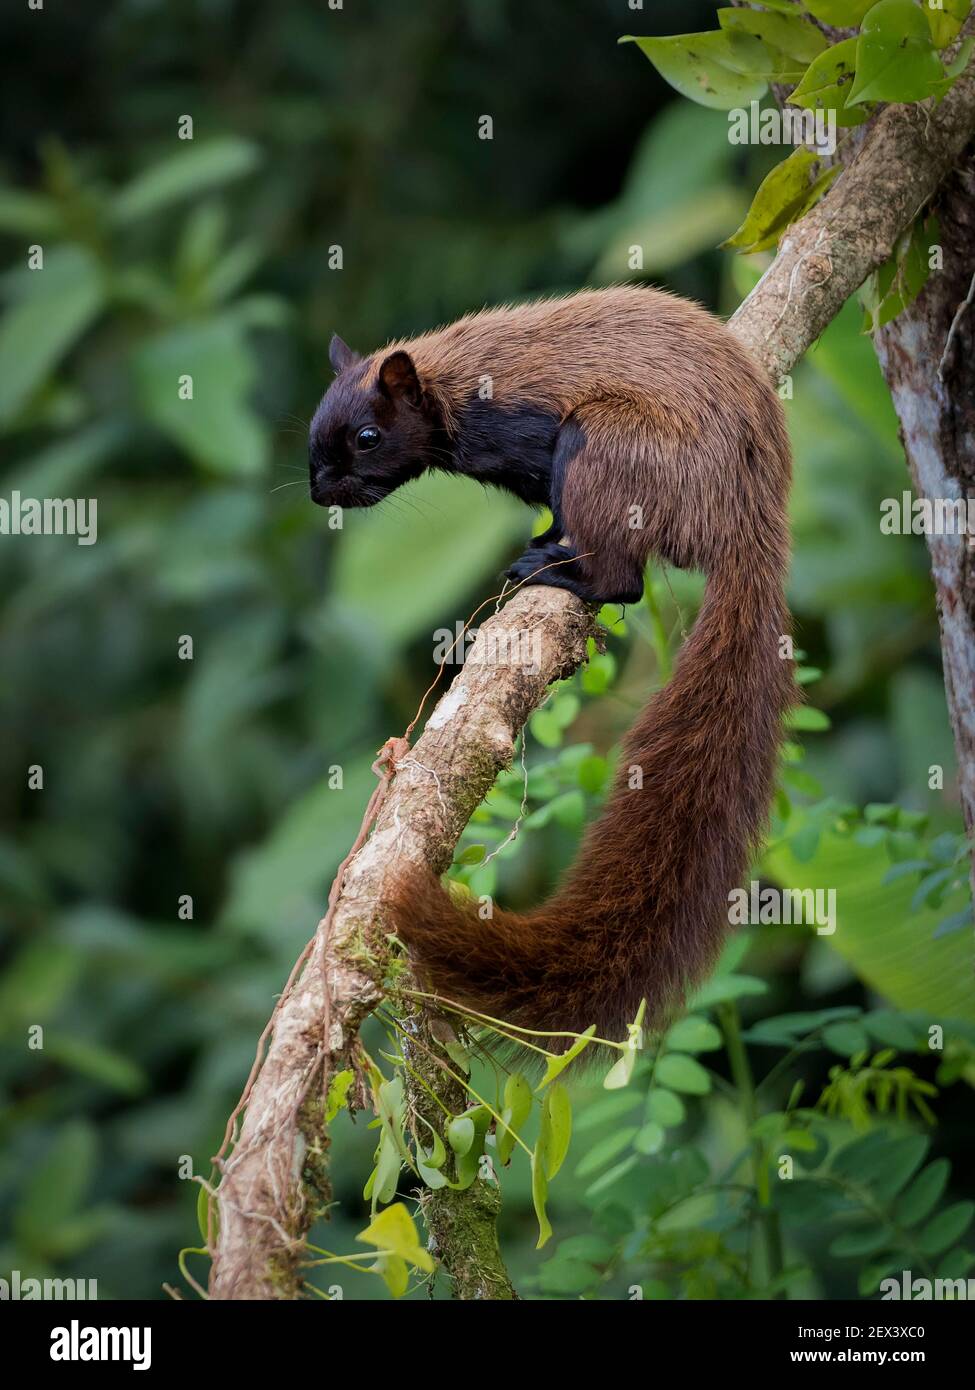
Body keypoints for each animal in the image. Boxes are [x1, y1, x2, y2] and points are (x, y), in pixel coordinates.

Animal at [309, 284, 794, 1043]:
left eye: (366, 437)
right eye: (311, 429)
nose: (319, 489)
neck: (463, 393)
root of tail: (749, 520)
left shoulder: (534, 438)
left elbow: (564, 517)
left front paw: (545, 544)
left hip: (596, 441)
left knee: (624, 580)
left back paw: (554, 570)